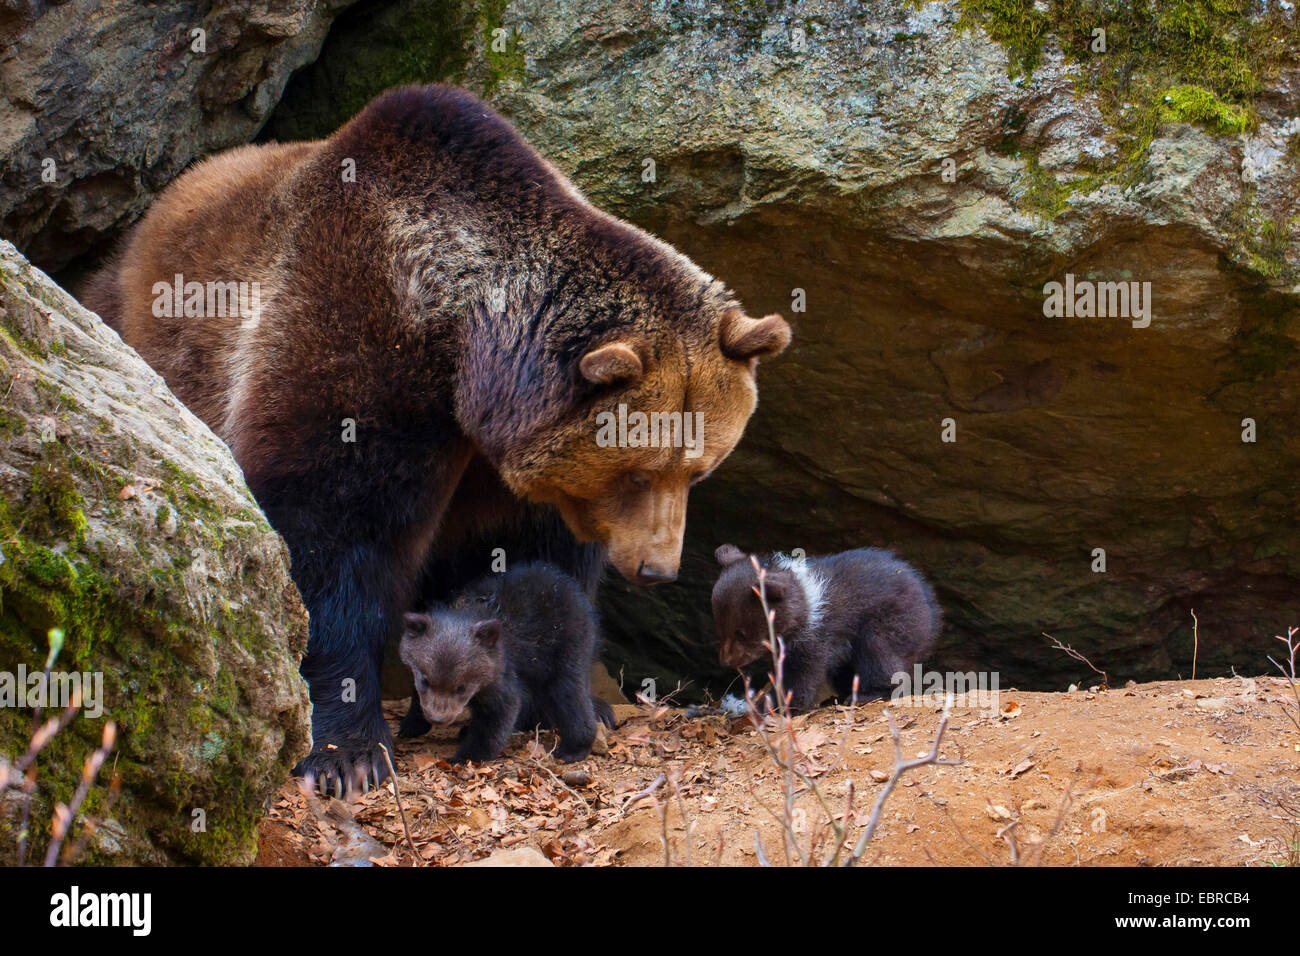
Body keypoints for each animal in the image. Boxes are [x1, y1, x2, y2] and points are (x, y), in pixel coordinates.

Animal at [398, 562, 613, 762]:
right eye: (425, 681)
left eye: (461, 687)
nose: (438, 718)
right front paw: (411, 725)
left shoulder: (500, 673)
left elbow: (500, 713)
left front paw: (464, 756)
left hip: (568, 647)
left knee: (570, 694)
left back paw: (573, 749)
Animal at [711, 544, 941, 710]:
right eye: (720, 628)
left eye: (741, 632)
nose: (726, 661)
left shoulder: (814, 636)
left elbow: (802, 674)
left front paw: (776, 704)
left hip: (893, 618)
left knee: (880, 652)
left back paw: (867, 694)